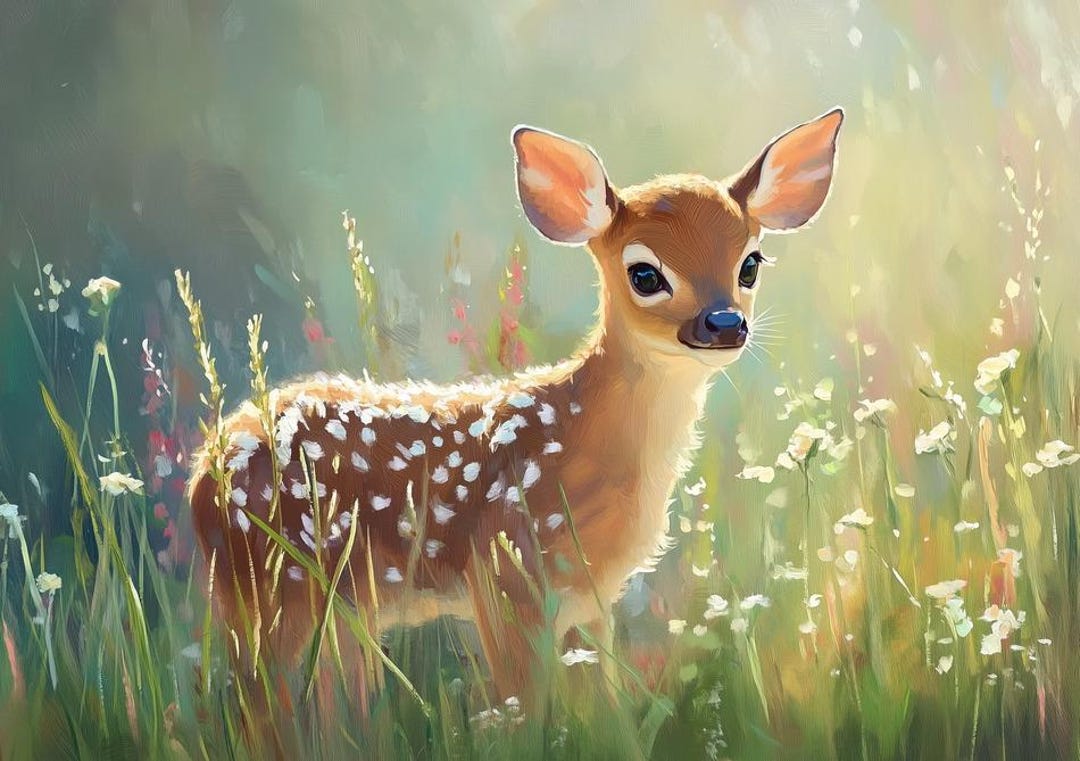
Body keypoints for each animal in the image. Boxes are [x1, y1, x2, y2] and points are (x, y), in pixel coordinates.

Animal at [187, 108, 844, 714]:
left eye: (751, 264)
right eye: (645, 273)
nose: (725, 323)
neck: (584, 436)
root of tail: (208, 462)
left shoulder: (590, 600)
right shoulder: (504, 569)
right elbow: (525, 706)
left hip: (338, 603)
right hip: (270, 587)